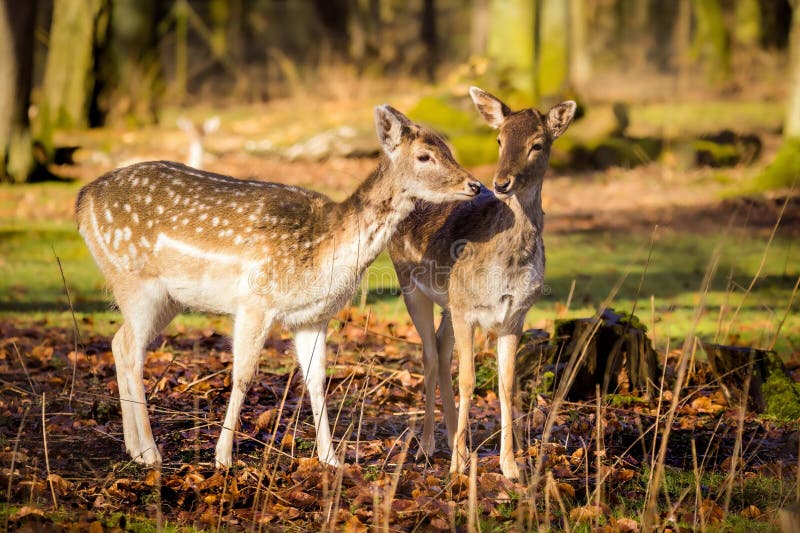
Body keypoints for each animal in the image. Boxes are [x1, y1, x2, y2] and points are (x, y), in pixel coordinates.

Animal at [75, 105, 482, 469]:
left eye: (448, 148)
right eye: (424, 155)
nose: (474, 184)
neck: (324, 251)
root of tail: (82, 202)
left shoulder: (312, 317)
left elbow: (316, 381)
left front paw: (331, 459)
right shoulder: (255, 301)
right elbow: (242, 376)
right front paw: (223, 458)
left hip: (166, 298)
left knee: (120, 343)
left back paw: (134, 449)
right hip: (133, 278)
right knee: (130, 349)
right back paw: (150, 453)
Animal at [389, 87, 576, 479]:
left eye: (538, 144)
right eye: (499, 139)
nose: (501, 183)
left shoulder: (515, 315)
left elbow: (506, 386)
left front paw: (511, 465)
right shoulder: (467, 310)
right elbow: (469, 380)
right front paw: (458, 467)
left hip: (449, 302)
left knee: (441, 348)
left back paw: (453, 439)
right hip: (413, 286)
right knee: (430, 355)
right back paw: (429, 446)